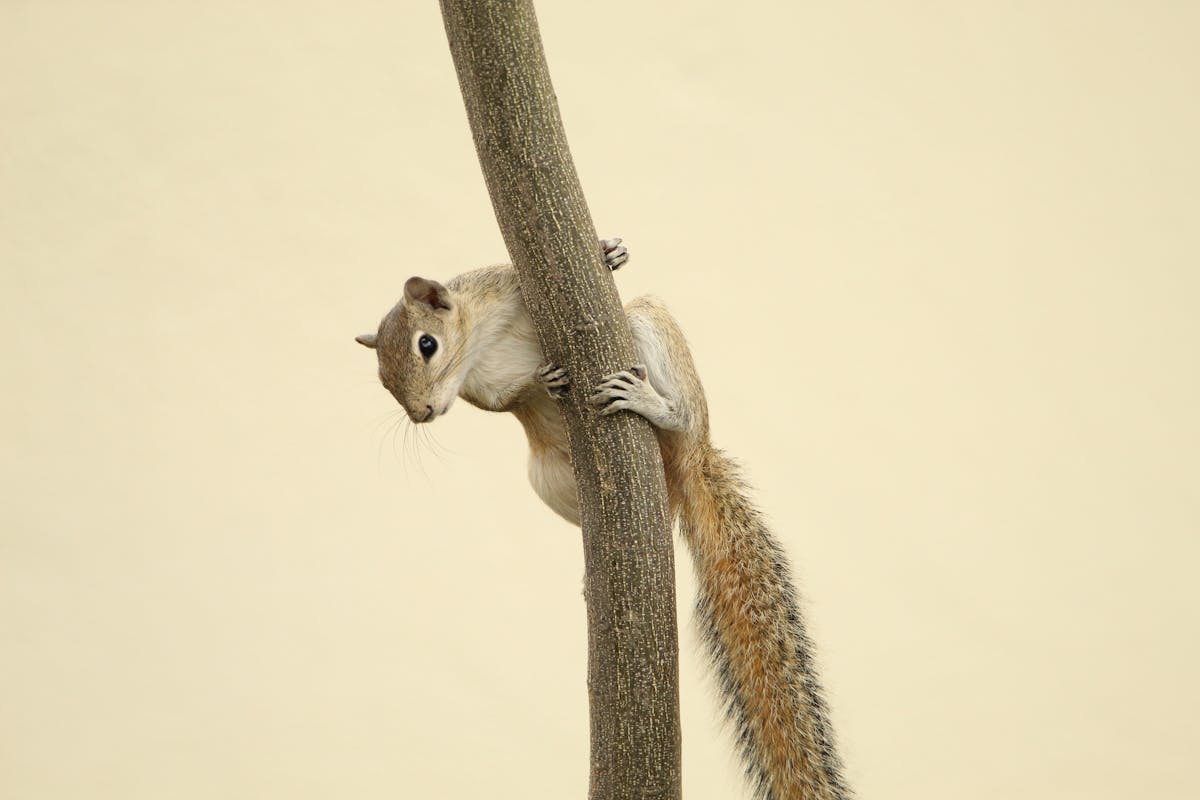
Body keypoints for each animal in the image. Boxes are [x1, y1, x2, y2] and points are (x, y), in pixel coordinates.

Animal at [356, 238, 851, 800]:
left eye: (427, 345)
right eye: (382, 377)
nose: (421, 413)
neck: (479, 341)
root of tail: (686, 468)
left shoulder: (505, 284)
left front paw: (611, 252)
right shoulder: (486, 393)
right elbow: (511, 395)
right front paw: (542, 378)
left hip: (647, 327)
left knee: (679, 407)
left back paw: (655, 405)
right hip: (547, 475)